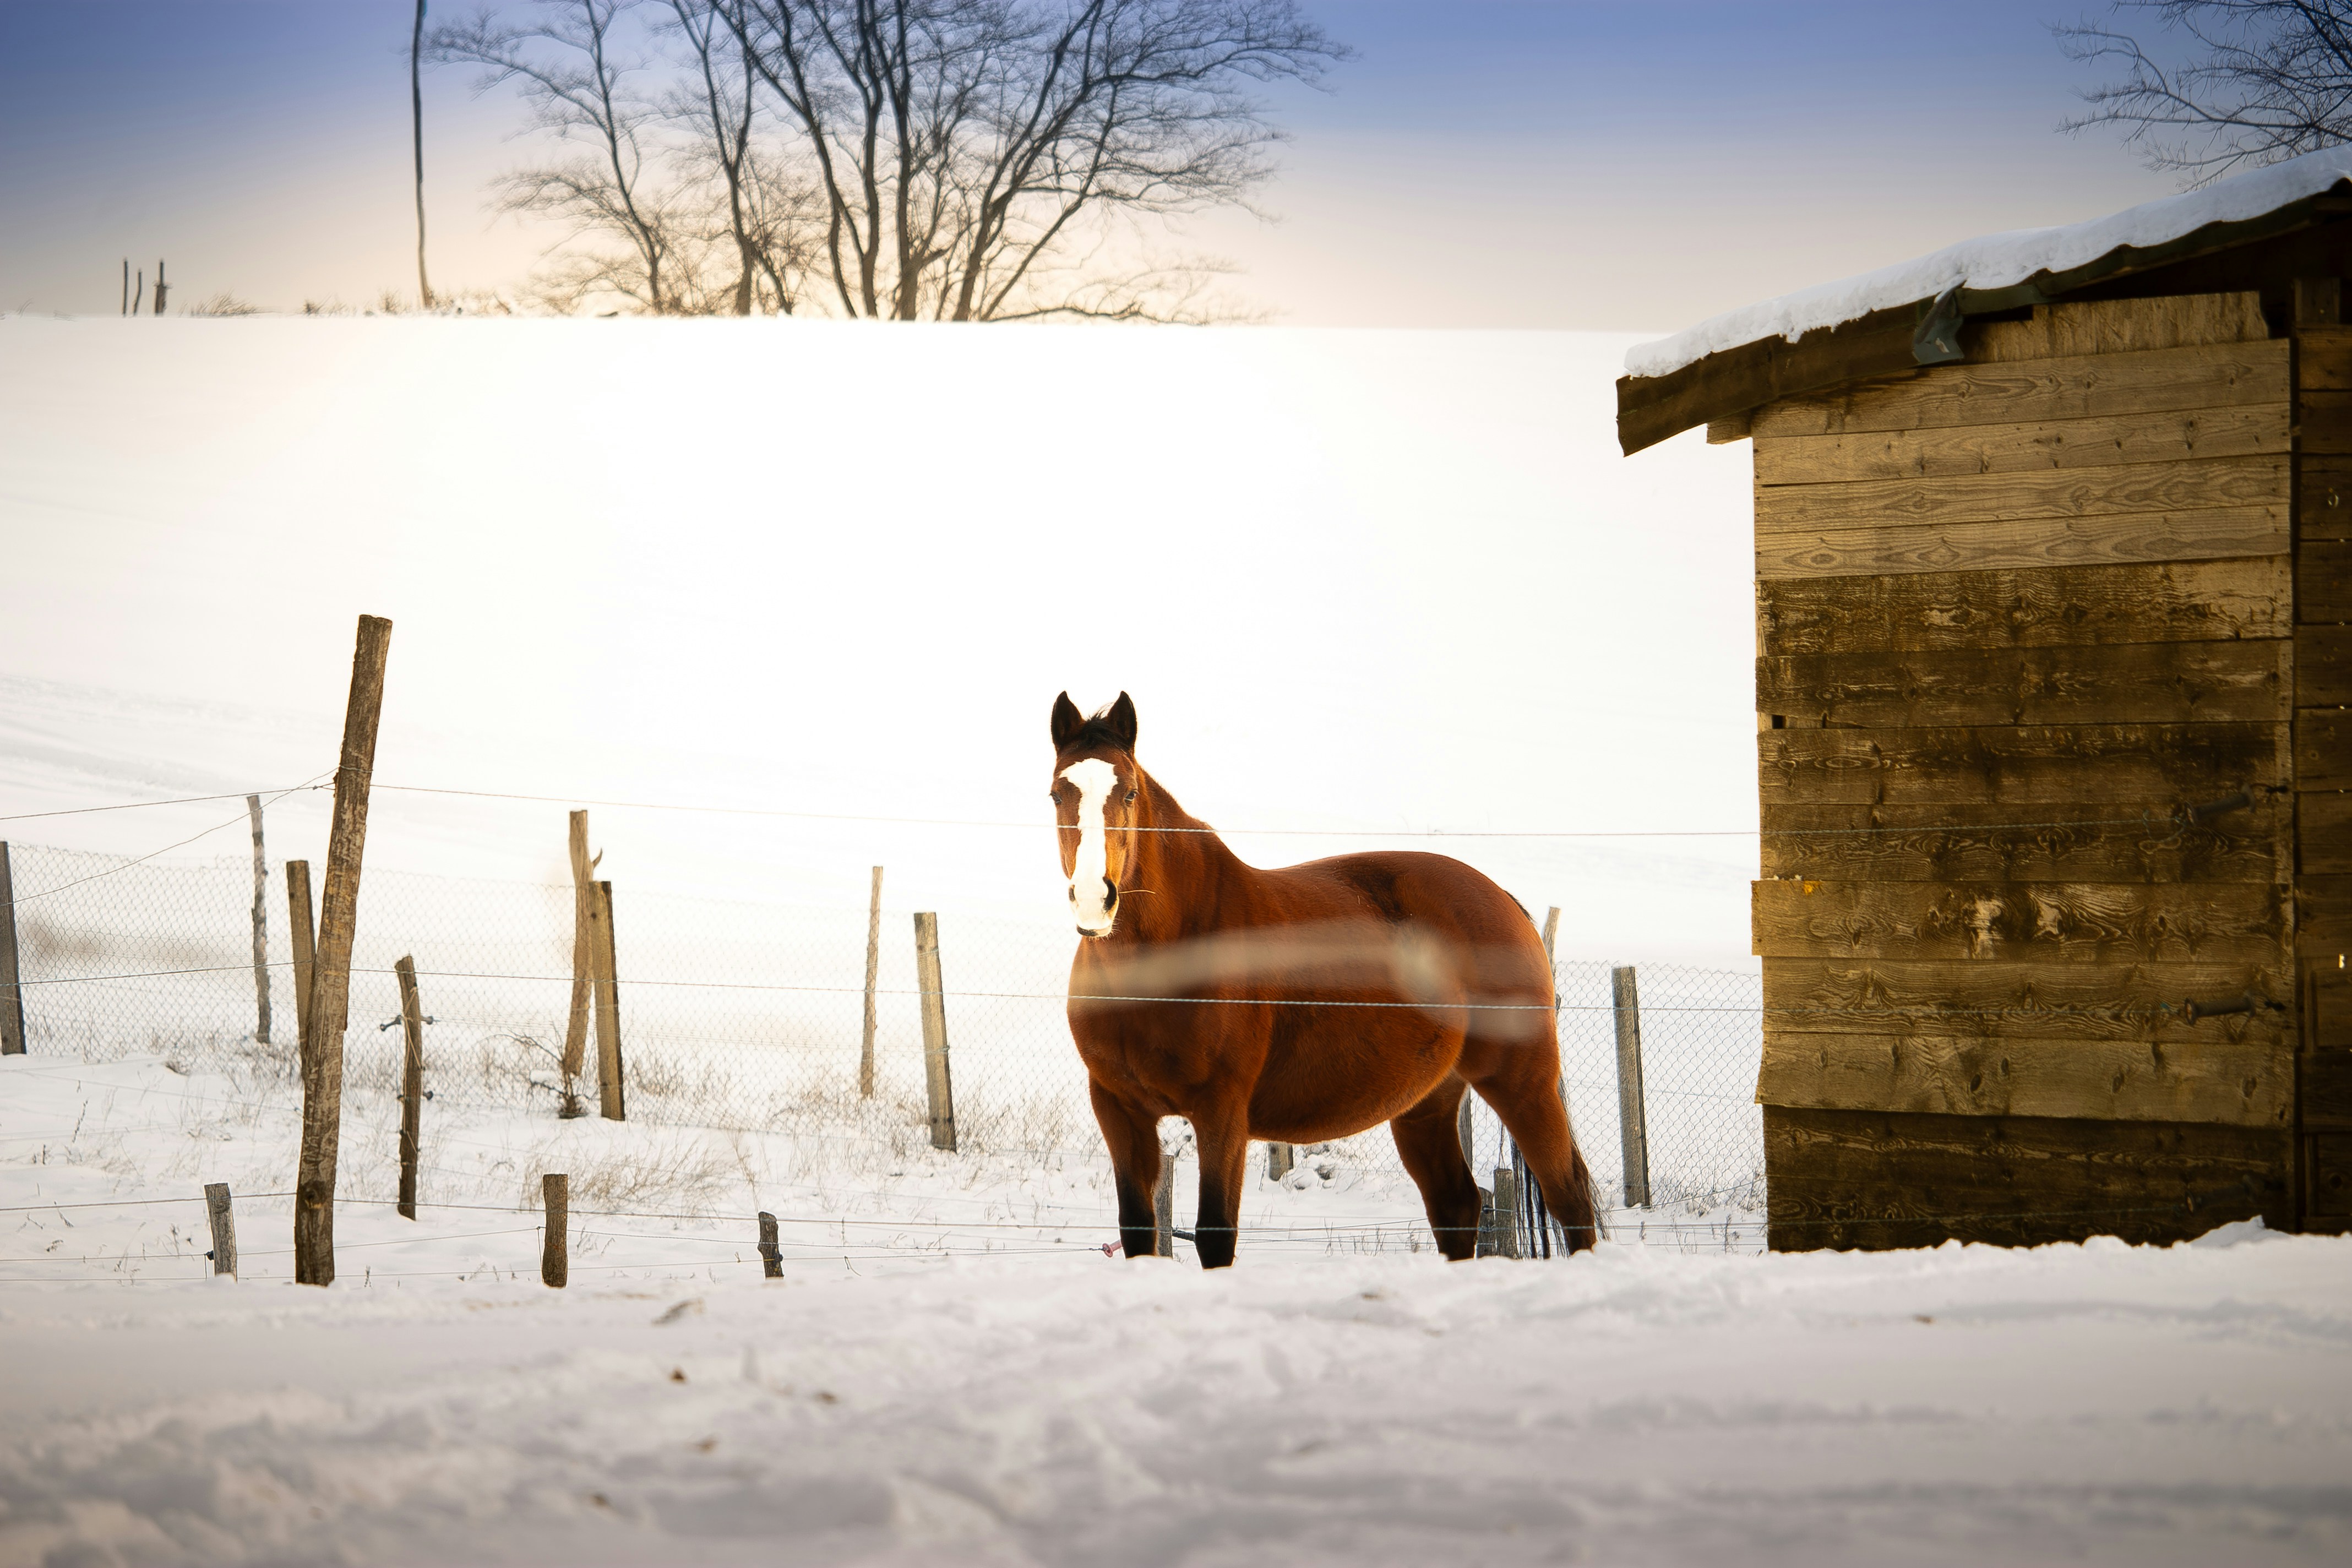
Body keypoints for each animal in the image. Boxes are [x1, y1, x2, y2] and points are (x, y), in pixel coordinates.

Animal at [1050, 691, 1599, 1268]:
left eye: (1129, 793)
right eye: (1057, 794)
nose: (1095, 898)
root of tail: (1502, 899)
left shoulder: (1222, 1111)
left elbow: (1215, 1233)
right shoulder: (1120, 1109)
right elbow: (1138, 1230)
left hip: (1522, 1082)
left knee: (1568, 1195)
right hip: (1426, 1105)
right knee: (1456, 1204)